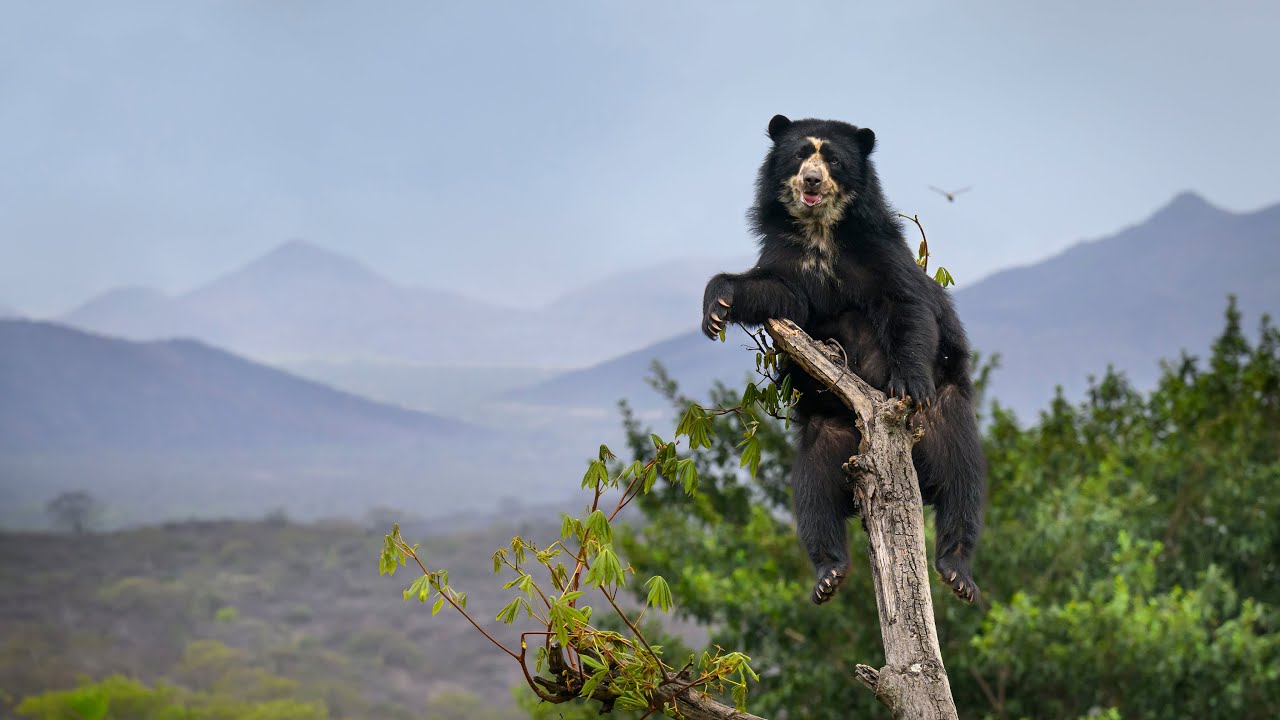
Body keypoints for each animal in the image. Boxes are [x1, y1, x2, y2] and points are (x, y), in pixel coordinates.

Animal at [701, 114, 986, 604]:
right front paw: (717, 306)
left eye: (832, 159)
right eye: (801, 154)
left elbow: (906, 304)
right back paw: (828, 575)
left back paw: (957, 572)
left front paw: (908, 383)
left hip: (946, 415)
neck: (821, 233)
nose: (812, 180)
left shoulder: (878, 252)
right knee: (813, 497)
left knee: (961, 479)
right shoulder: (788, 258)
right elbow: (779, 293)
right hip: (827, 435)